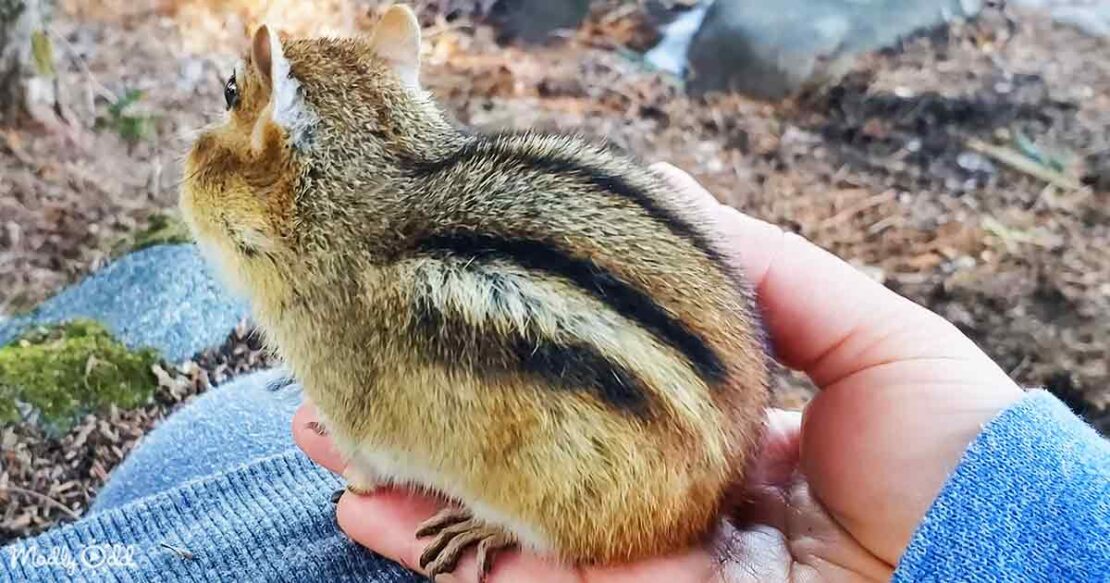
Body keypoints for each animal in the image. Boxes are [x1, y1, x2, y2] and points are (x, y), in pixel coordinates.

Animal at [180, 4, 769, 581]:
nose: (188, 160)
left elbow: (366, 468)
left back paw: (479, 528)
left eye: (230, 90)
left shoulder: (348, 405)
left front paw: (350, 485)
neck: (359, 202)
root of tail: (725, 486)